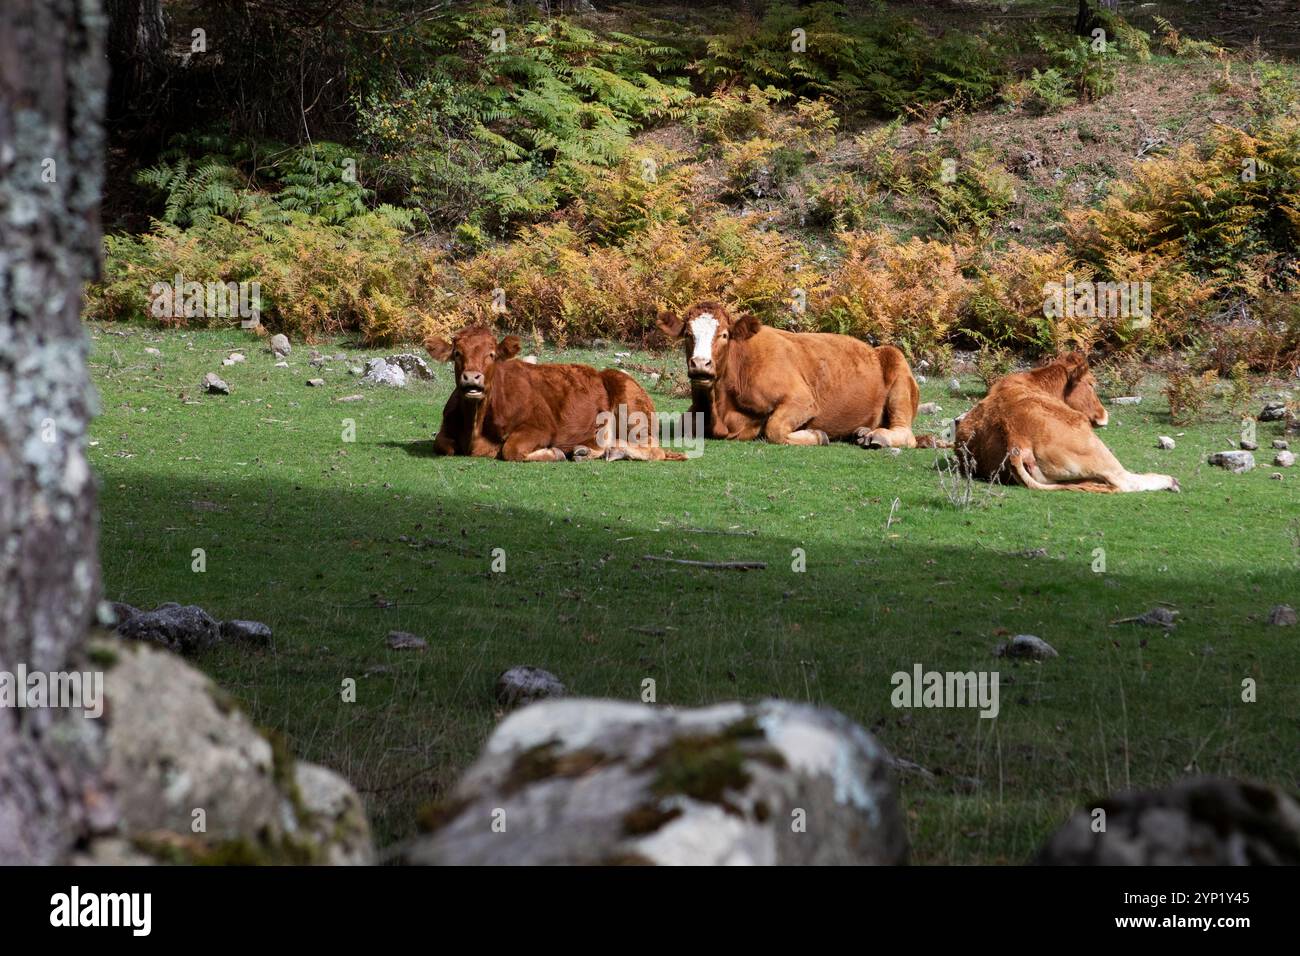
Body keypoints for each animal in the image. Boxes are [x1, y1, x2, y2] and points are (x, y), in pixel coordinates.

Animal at [425, 326, 683, 462]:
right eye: (457, 353)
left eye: (491, 354)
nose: (471, 377)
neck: (476, 427)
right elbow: (443, 445)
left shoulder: (540, 427)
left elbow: (511, 449)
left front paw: (554, 452)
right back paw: (585, 451)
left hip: (631, 406)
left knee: (655, 450)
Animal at [656, 301, 935, 448]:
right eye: (688, 334)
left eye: (724, 335)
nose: (700, 364)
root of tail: (877, 349)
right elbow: (681, 424)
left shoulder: (802, 400)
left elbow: (774, 428)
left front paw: (818, 435)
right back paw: (862, 432)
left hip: (898, 370)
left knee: (906, 433)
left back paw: (877, 436)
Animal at [955, 352, 1179, 493]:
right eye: (1091, 384)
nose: (1103, 414)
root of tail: (1015, 439)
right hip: (1102, 456)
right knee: (1126, 481)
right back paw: (1170, 480)